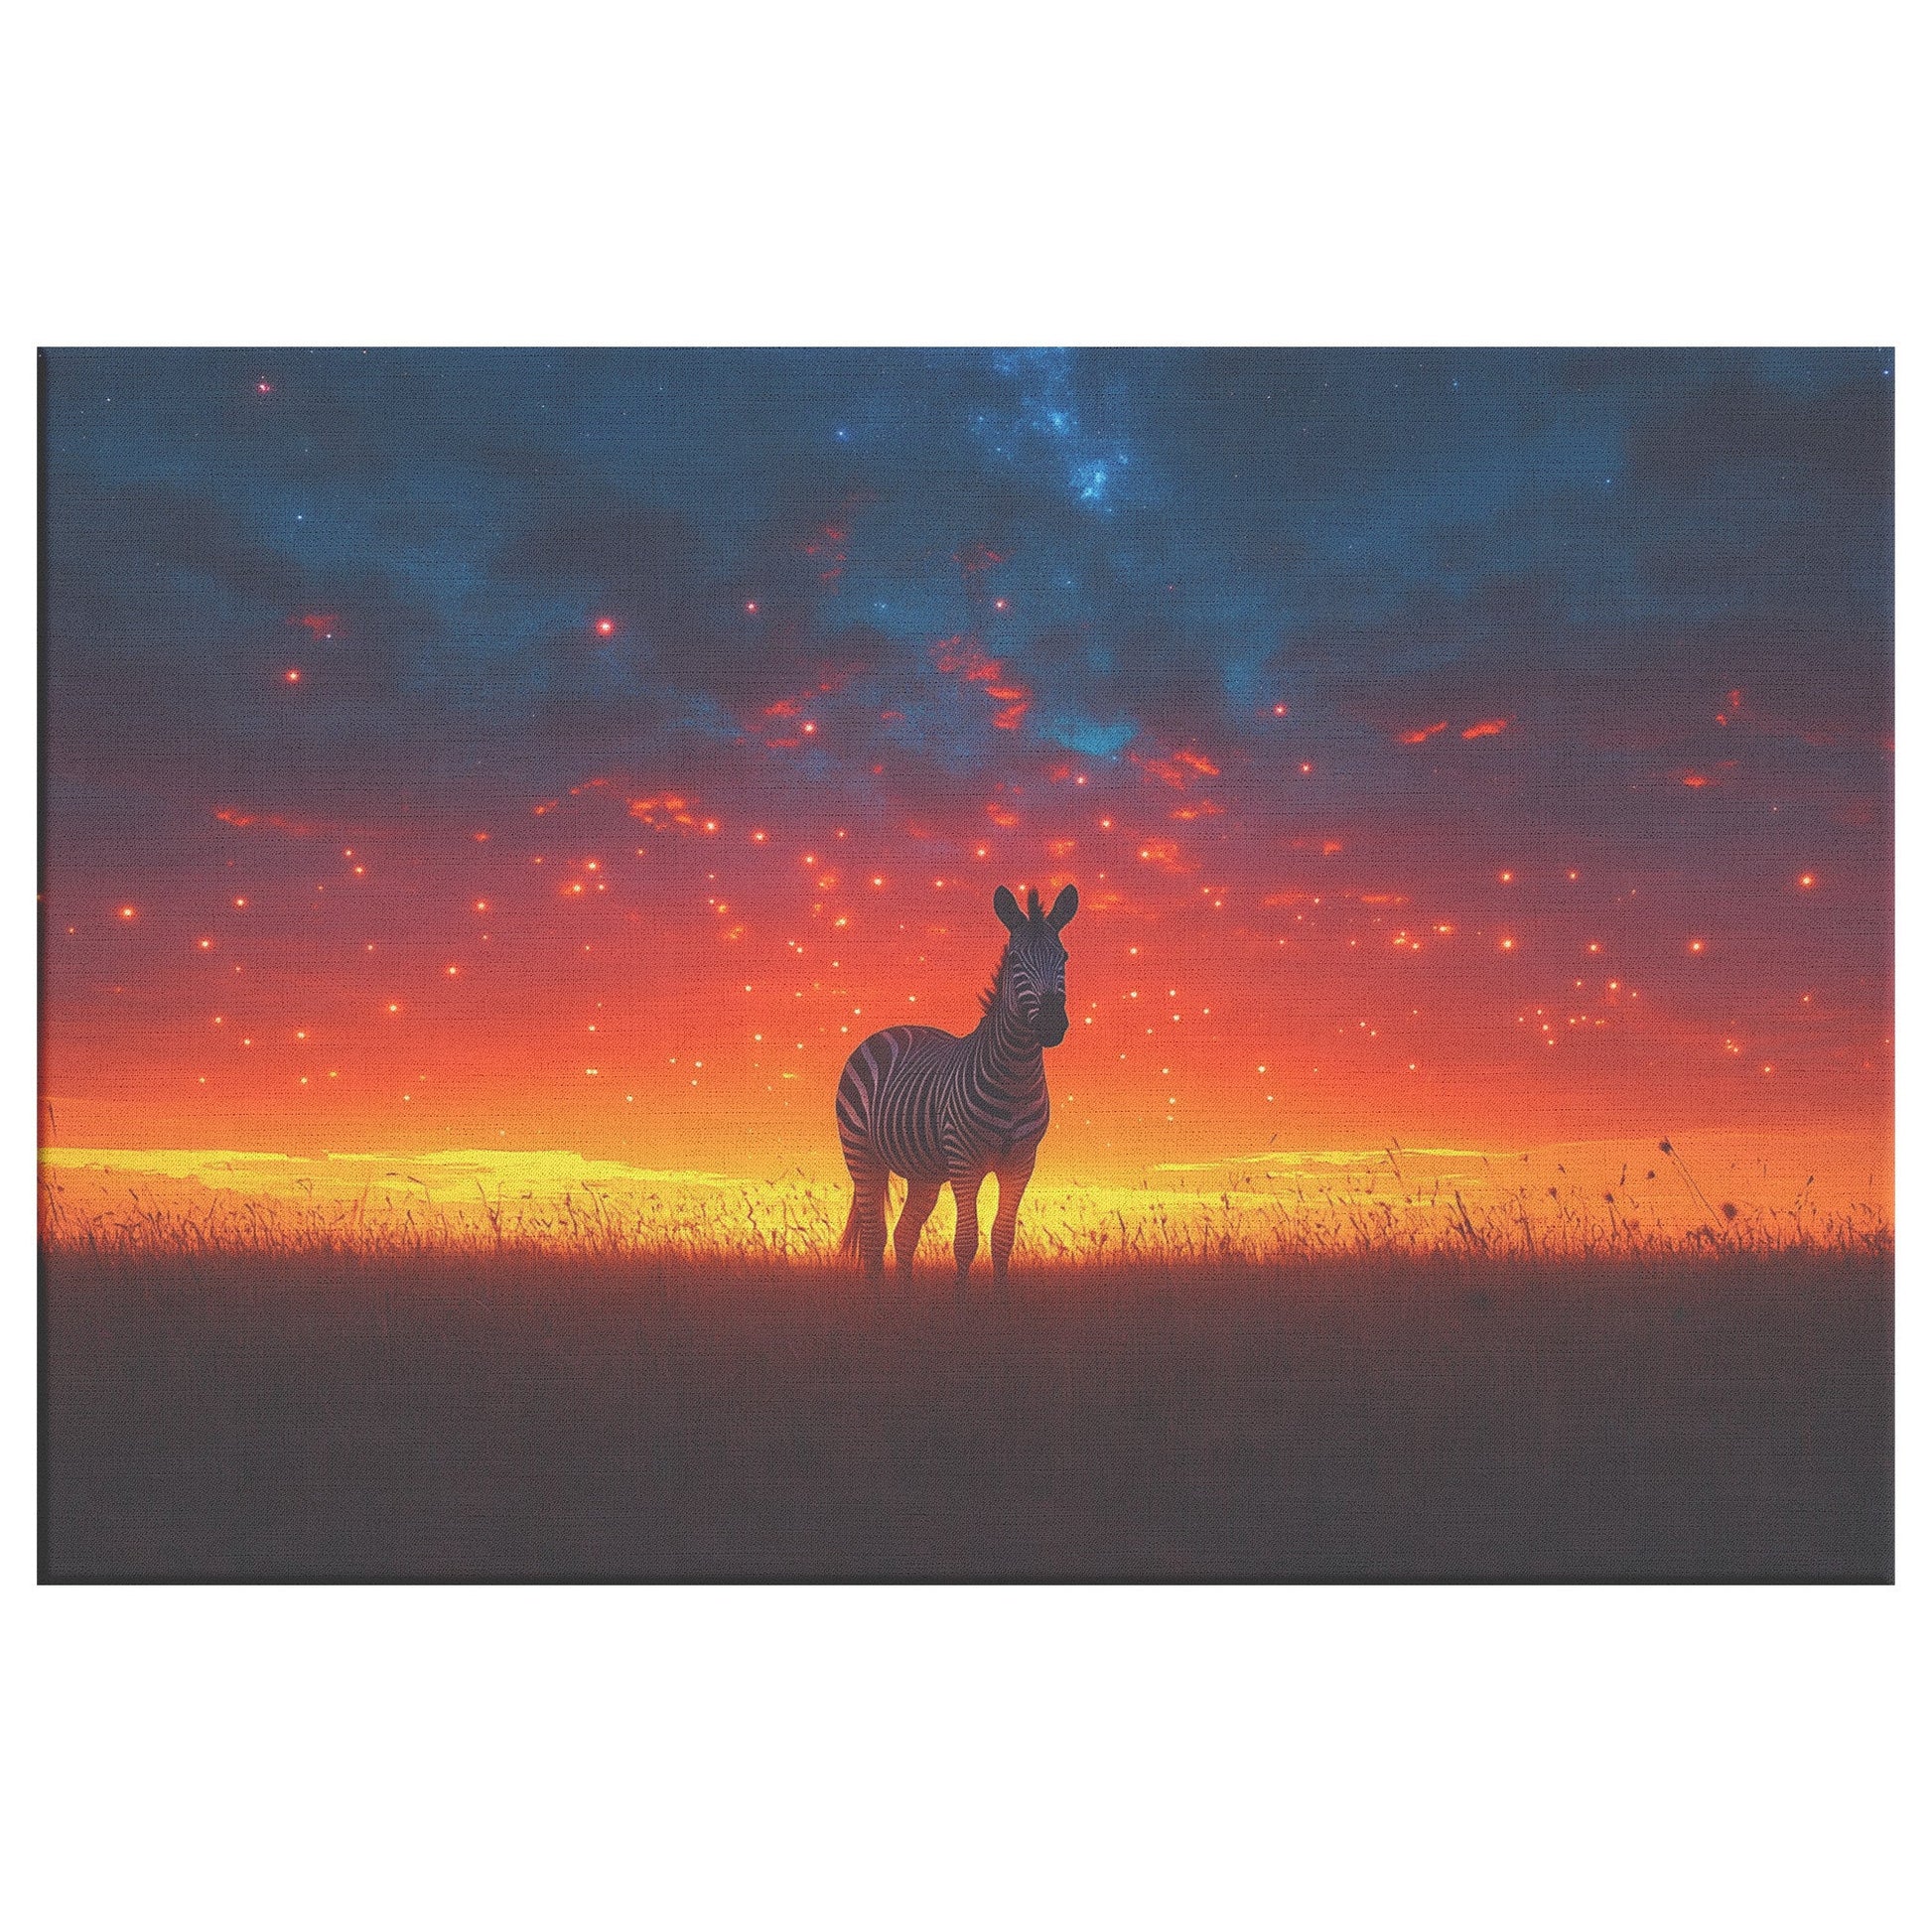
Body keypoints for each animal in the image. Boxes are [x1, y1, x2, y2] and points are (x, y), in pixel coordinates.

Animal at [836, 882, 1078, 1276]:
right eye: (1015, 960)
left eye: (1064, 958)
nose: (1051, 1024)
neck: (1015, 1076)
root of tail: (894, 1029)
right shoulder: (966, 1163)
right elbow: (965, 1243)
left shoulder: (1021, 1163)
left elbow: (1002, 1239)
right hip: (862, 1154)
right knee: (874, 1239)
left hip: (924, 1171)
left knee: (904, 1234)